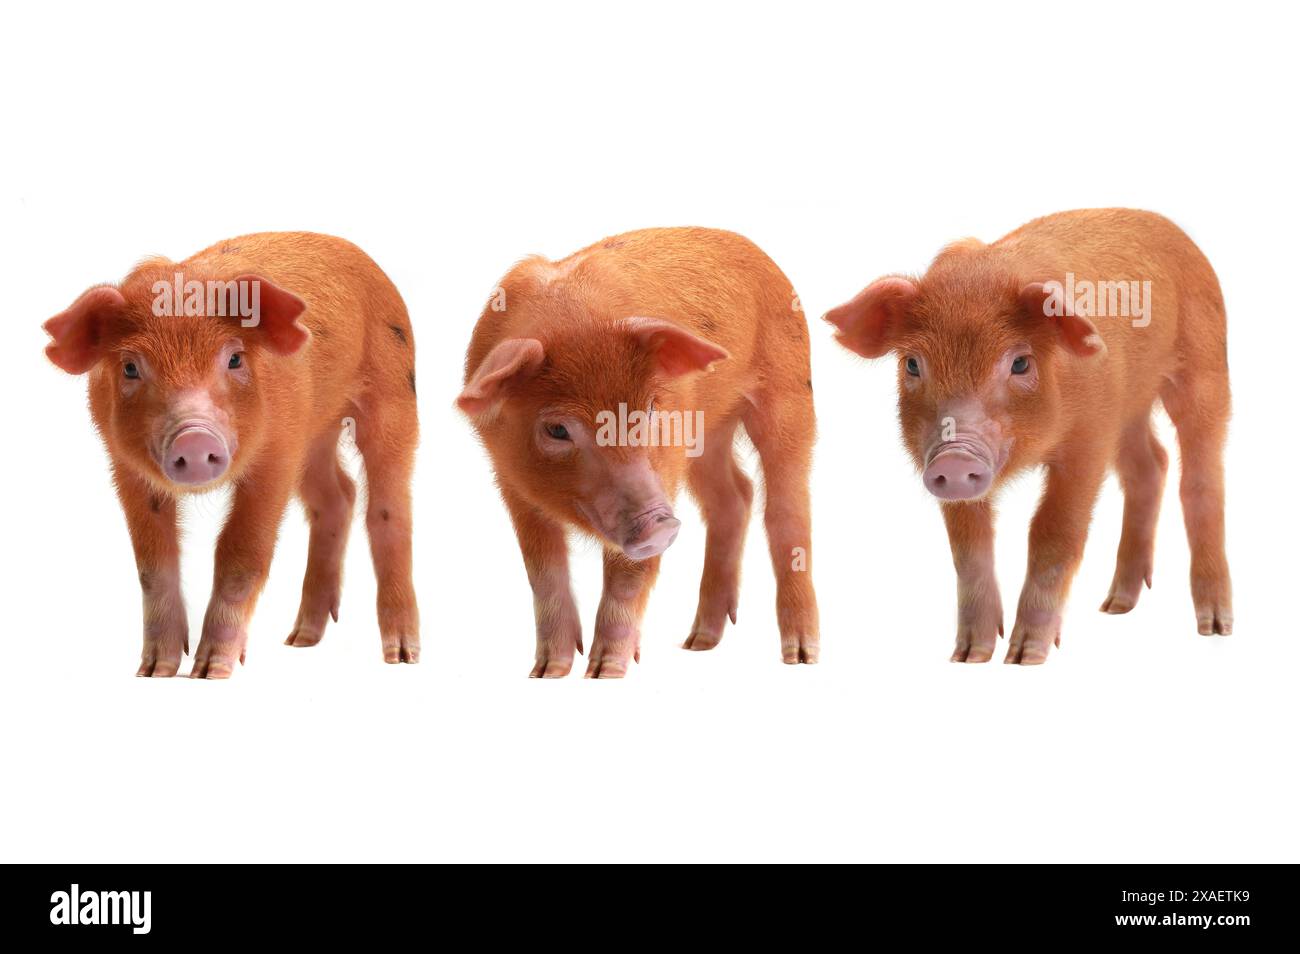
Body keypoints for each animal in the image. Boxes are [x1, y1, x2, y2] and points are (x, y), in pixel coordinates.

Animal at [42, 232, 420, 677]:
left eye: (235, 359)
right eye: (131, 367)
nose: (193, 437)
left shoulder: (277, 452)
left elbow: (241, 551)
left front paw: (210, 672)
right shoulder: (124, 466)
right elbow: (153, 564)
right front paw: (154, 671)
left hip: (394, 393)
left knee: (388, 509)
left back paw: (401, 656)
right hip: (315, 434)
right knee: (338, 495)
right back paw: (300, 640)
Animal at [458, 227, 819, 677]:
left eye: (647, 410)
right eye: (557, 430)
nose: (660, 524)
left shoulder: (661, 470)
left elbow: (629, 575)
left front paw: (604, 673)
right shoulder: (510, 481)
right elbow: (542, 572)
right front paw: (547, 672)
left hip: (790, 391)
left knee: (787, 511)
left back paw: (800, 656)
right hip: (707, 436)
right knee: (735, 496)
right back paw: (697, 643)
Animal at [825, 208, 1232, 664]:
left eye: (1020, 363)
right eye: (912, 363)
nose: (955, 457)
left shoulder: (1089, 439)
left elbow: (1054, 531)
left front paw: (1024, 657)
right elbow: (968, 548)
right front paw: (969, 656)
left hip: (1205, 366)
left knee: (1200, 477)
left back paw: (1214, 626)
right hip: (1130, 408)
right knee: (1150, 464)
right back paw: (1115, 607)